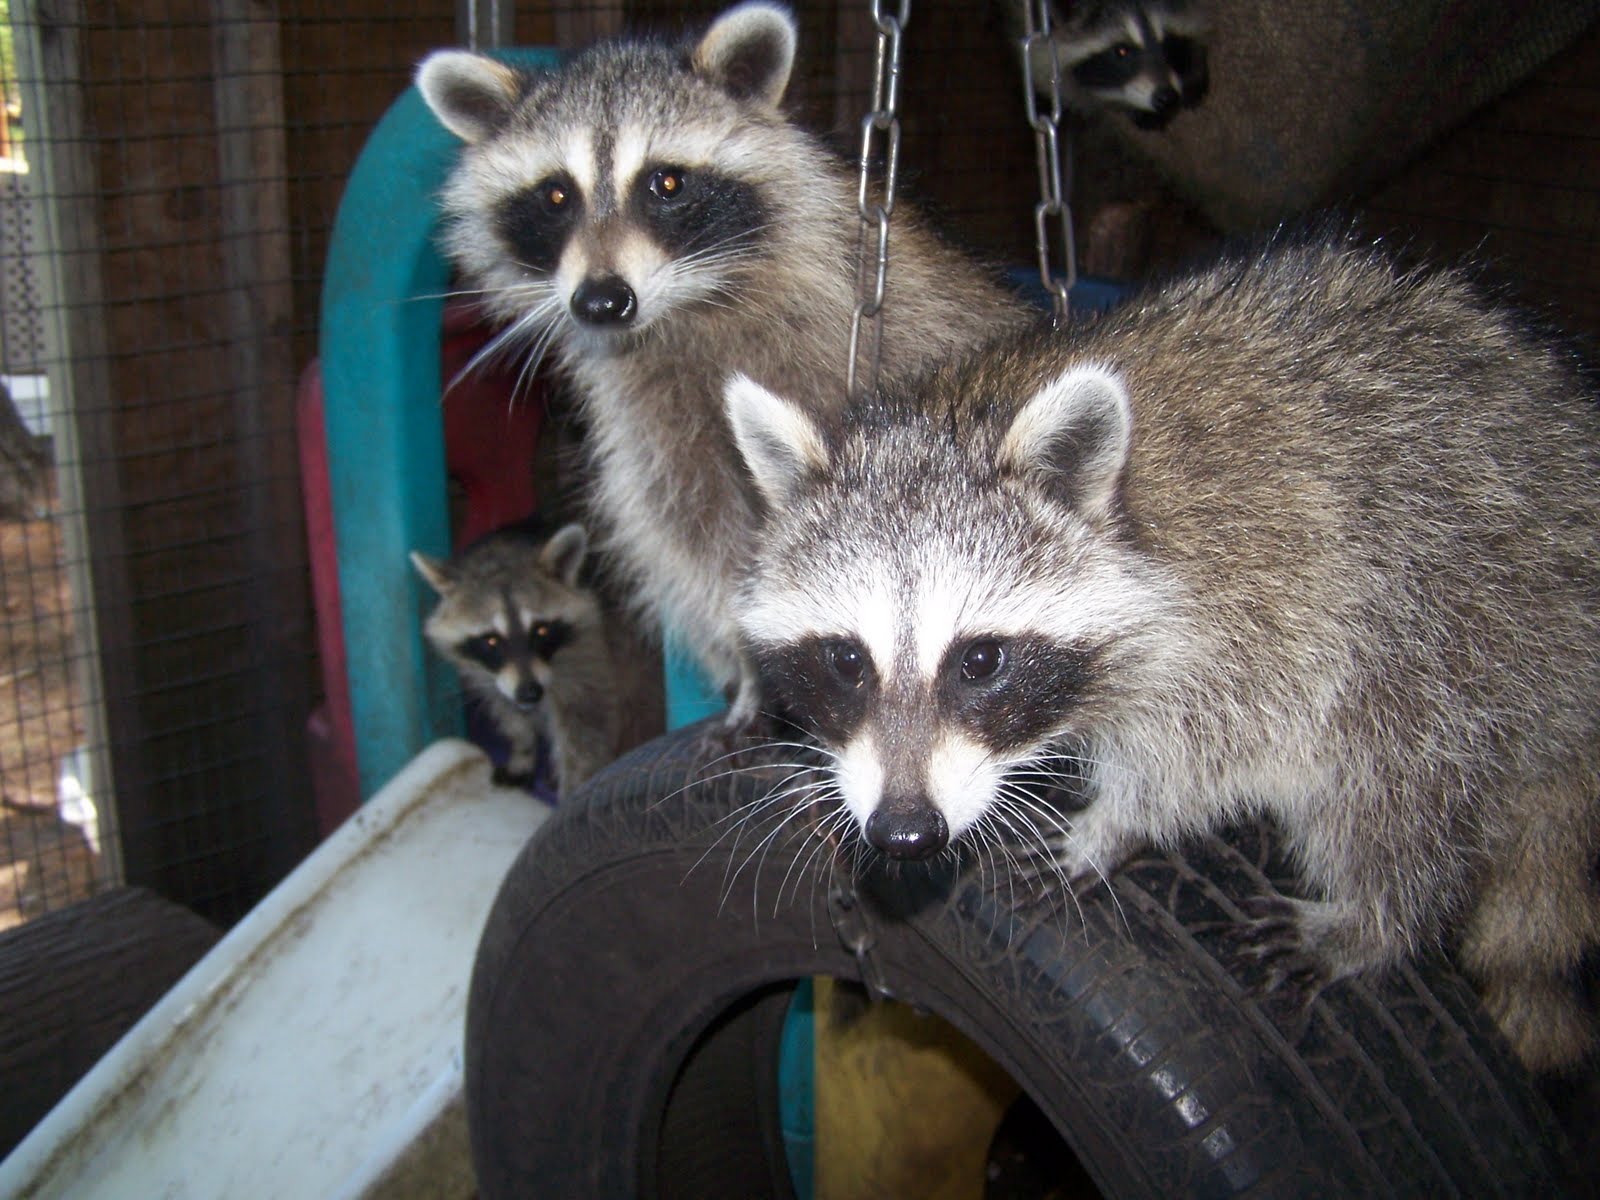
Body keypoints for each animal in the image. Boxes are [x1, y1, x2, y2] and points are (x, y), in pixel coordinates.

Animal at [412, 523, 622, 794]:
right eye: (491, 641)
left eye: (541, 631)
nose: (530, 692)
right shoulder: (490, 676)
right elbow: (508, 711)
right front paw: (522, 750)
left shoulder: (588, 659)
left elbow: (586, 738)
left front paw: (574, 790)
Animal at [415, 2, 1027, 726]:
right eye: (556, 196)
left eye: (666, 182)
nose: (602, 302)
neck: (685, 310)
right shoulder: (659, 432)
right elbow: (702, 540)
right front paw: (752, 666)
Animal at [726, 233, 1600, 1073]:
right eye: (846, 662)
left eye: (980, 662)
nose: (906, 831)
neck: (963, 410)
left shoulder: (1262, 603)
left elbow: (1212, 743)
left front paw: (1117, 821)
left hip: (1454, 618)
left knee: (1393, 776)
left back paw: (1373, 918)